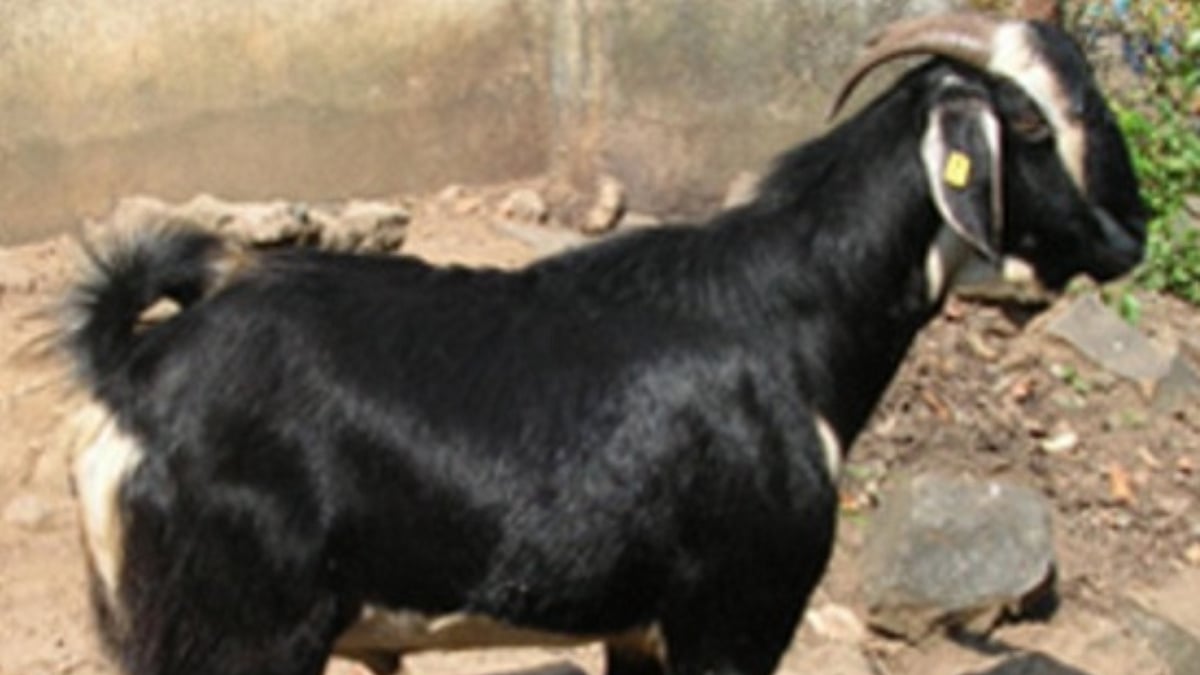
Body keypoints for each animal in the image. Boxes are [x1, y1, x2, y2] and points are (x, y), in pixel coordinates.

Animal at [59, 12, 1145, 675]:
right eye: (1034, 127)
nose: (1129, 236)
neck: (788, 323)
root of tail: (138, 375)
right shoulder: (737, 611)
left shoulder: (641, 628)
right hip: (245, 629)